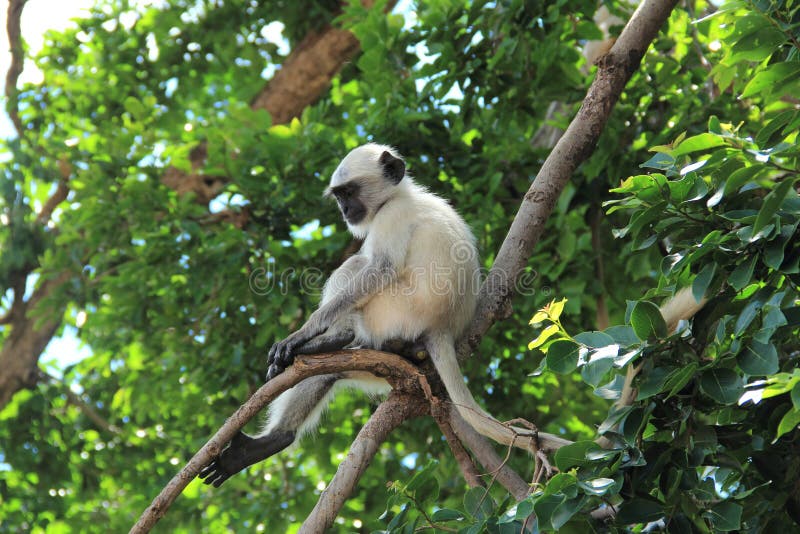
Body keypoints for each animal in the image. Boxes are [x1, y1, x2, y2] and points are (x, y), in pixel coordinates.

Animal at [199, 143, 573, 487]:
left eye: (349, 192)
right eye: (339, 196)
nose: (345, 210)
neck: (401, 194)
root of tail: (442, 329)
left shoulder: (392, 216)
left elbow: (381, 268)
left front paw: (303, 333)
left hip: (394, 313)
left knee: (357, 266)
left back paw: (332, 338)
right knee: (327, 372)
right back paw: (273, 439)